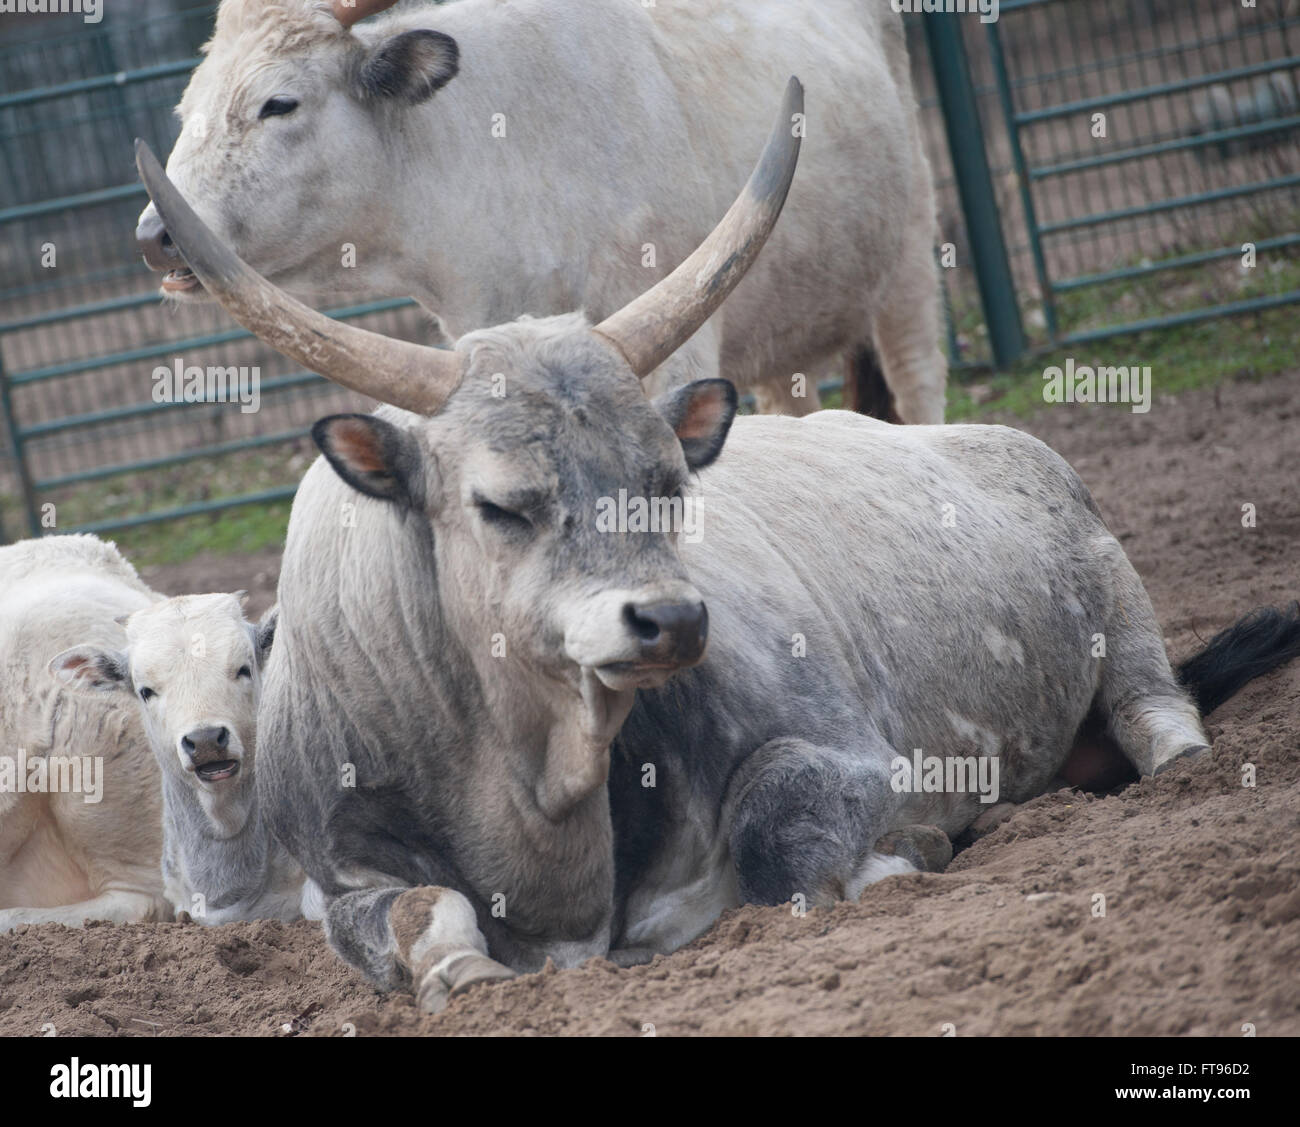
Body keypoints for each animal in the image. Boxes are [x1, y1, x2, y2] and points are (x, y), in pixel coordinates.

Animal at [134, 75, 1300, 1014]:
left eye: (668, 482)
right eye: (501, 504)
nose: (671, 618)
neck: (538, 790)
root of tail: (994, 436)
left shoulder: (855, 753)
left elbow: (781, 835)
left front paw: (899, 857)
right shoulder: (341, 875)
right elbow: (412, 913)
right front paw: (458, 963)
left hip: (1120, 609)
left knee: (1163, 723)